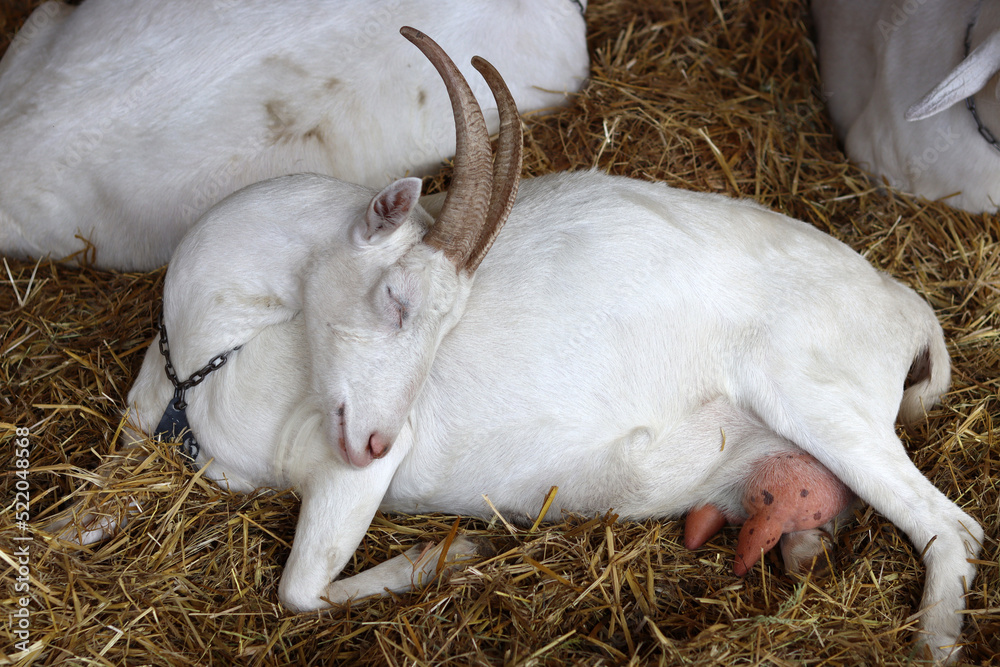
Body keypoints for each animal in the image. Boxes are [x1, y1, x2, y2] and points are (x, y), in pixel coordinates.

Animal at [52, 27, 983, 664]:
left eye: (438, 318)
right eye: (397, 298)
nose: (376, 435)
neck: (212, 353)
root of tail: (904, 306)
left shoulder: (349, 479)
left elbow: (298, 593)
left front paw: (449, 551)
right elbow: (62, 529)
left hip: (820, 398)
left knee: (953, 527)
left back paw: (934, 640)